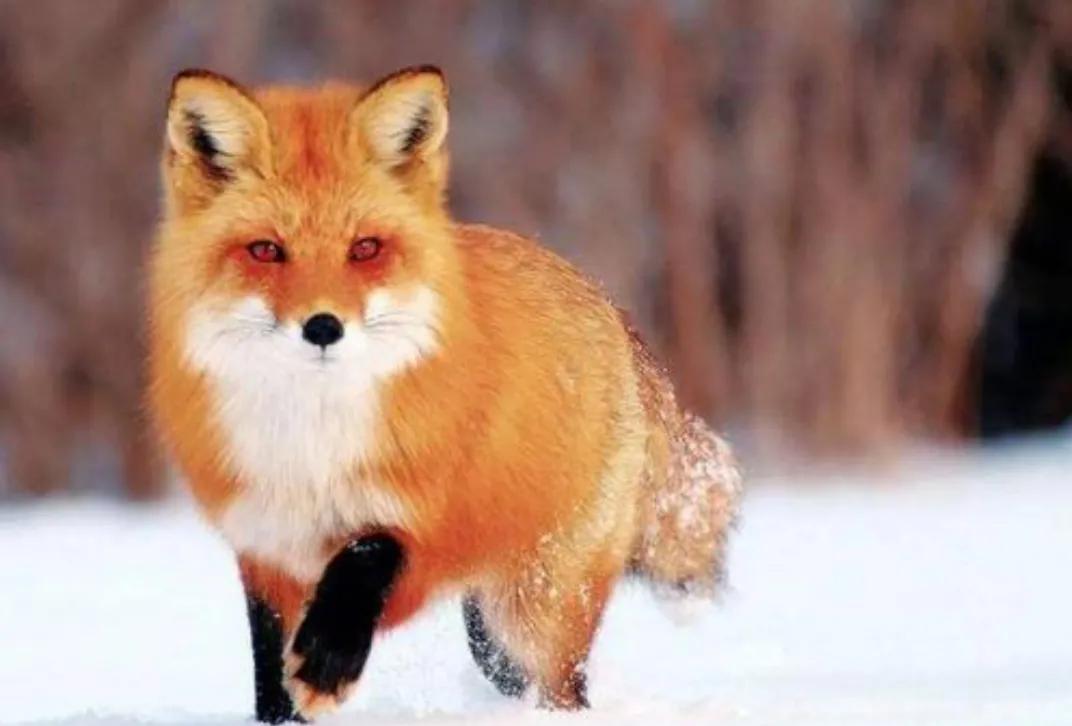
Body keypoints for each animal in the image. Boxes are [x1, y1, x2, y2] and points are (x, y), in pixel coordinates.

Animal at [147, 65, 741, 723]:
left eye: (365, 249)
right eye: (266, 250)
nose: (323, 327)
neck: (312, 449)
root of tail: (611, 308)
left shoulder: (426, 523)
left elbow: (366, 556)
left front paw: (327, 663)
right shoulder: (266, 548)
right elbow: (270, 679)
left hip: (537, 611)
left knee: (566, 687)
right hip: (493, 638)